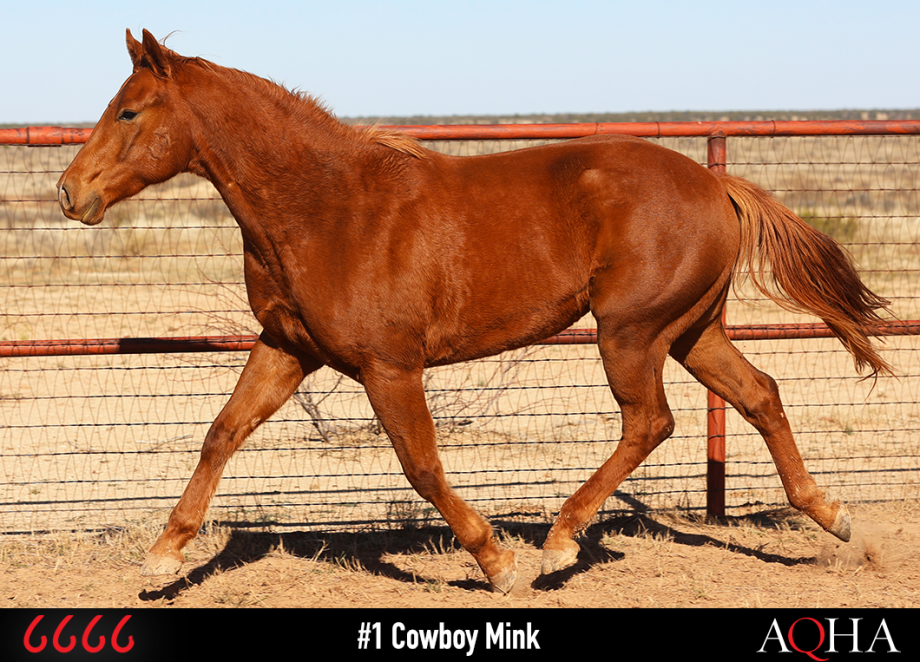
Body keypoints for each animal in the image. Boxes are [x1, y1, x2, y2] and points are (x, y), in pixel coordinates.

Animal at [57, 29, 892, 593]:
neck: (326, 209)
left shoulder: (389, 367)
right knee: (760, 395)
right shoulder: (286, 348)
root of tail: (716, 184)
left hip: (632, 332)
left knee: (651, 421)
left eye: (129, 112)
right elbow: (221, 434)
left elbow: (421, 464)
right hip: (691, 331)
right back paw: (834, 517)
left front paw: (499, 563)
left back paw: (560, 541)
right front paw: (163, 558)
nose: (70, 192)